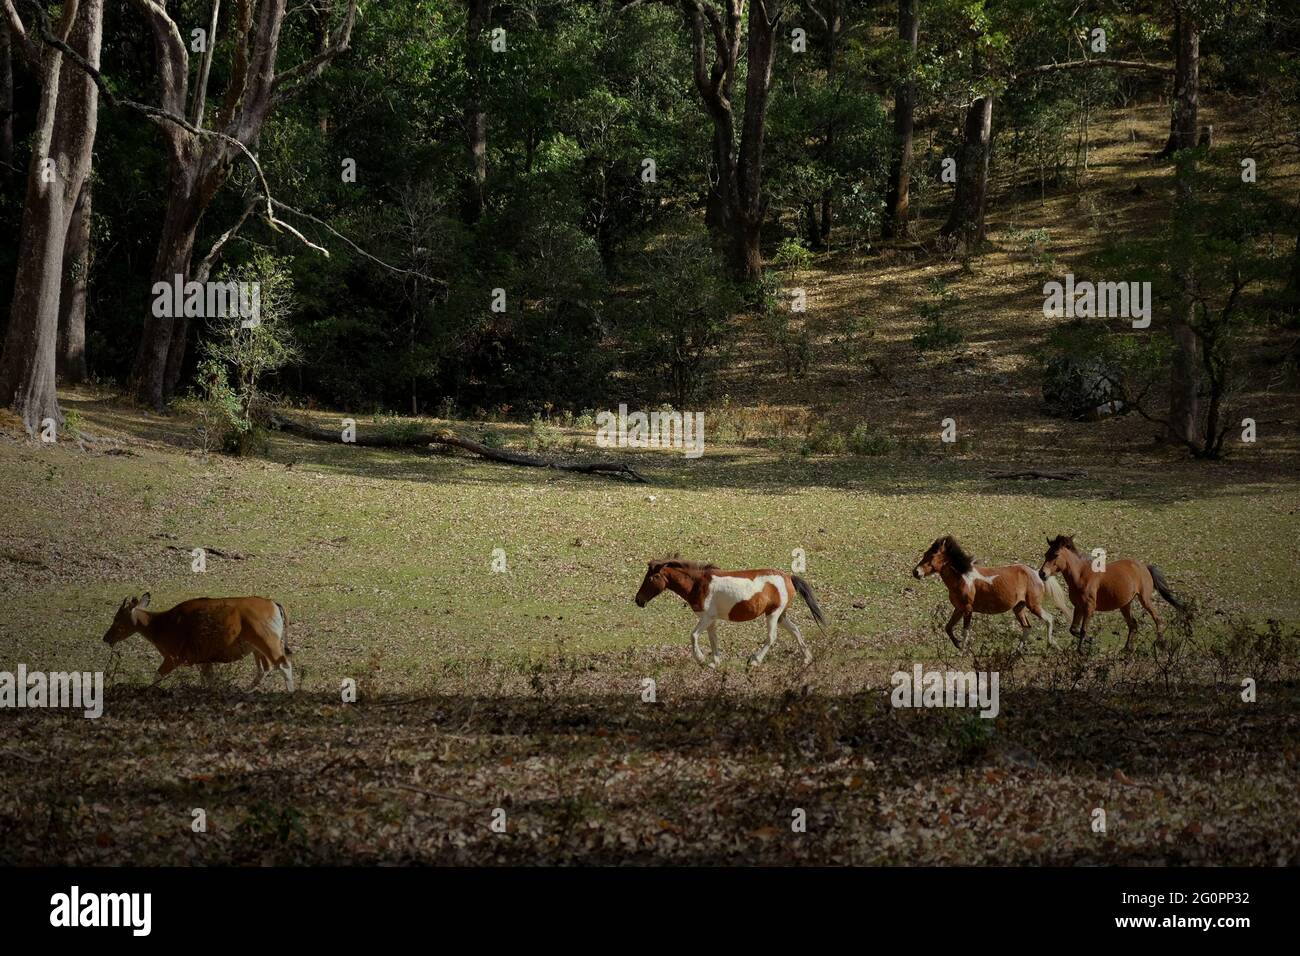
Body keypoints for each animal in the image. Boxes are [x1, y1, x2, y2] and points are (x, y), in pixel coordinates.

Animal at [633, 558, 827, 667]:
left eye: (651, 578)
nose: (638, 600)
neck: (698, 584)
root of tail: (788, 577)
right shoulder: (711, 620)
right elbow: (713, 639)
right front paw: (714, 663)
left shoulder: (707, 617)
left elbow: (693, 636)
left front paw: (701, 659)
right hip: (780, 616)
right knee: (795, 630)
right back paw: (807, 659)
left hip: (773, 614)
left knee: (771, 638)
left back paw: (755, 661)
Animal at [912, 535, 1071, 650]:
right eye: (925, 553)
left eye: (932, 556)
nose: (916, 572)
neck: (963, 578)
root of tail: (1037, 573)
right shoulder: (958, 609)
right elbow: (948, 628)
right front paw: (958, 645)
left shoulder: (968, 609)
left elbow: (965, 631)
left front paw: (963, 649)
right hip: (1018, 608)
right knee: (1027, 627)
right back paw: (1017, 651)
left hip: (1034, 606)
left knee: (1049, 618)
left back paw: (1050, 644)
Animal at [1037, 534, 1185, 652]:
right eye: (1046, 554)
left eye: (1056, 555)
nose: (1042, 574)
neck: (1081, 575)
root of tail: (1144, 567)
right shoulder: (1078, 607)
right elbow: (1074, 630)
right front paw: (1091, 640)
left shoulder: (1089, 607)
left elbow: (1083, 629)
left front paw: (1081, 651)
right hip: (1125, 605)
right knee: (1133, 624)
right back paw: (1126, 649)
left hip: (1145, 599)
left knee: (1158, 619)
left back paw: (1160, 645)